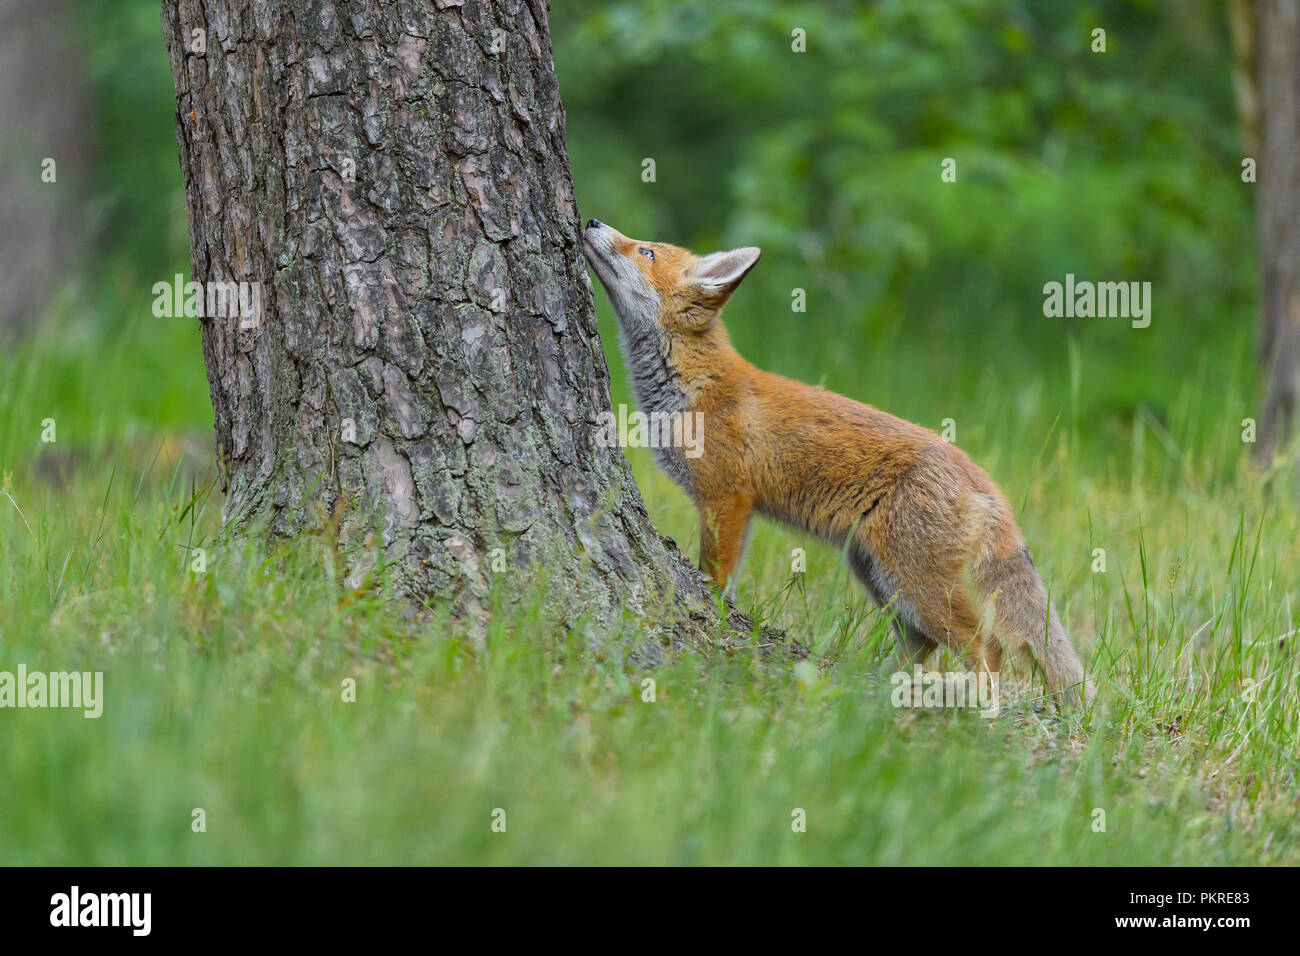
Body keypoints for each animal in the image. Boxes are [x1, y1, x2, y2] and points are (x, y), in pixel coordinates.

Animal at [582, 218, 1096, 707]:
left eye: (646, 251)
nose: (590, 222)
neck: (694, 383)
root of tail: (978, 474)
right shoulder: (735, 507)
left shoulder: (726, 499)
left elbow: (714, 574)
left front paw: (711, 607)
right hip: (878, 576)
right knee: (924, 642)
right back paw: (874, 687)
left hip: (913, 583)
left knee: (987, 648)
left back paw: (969, 703)